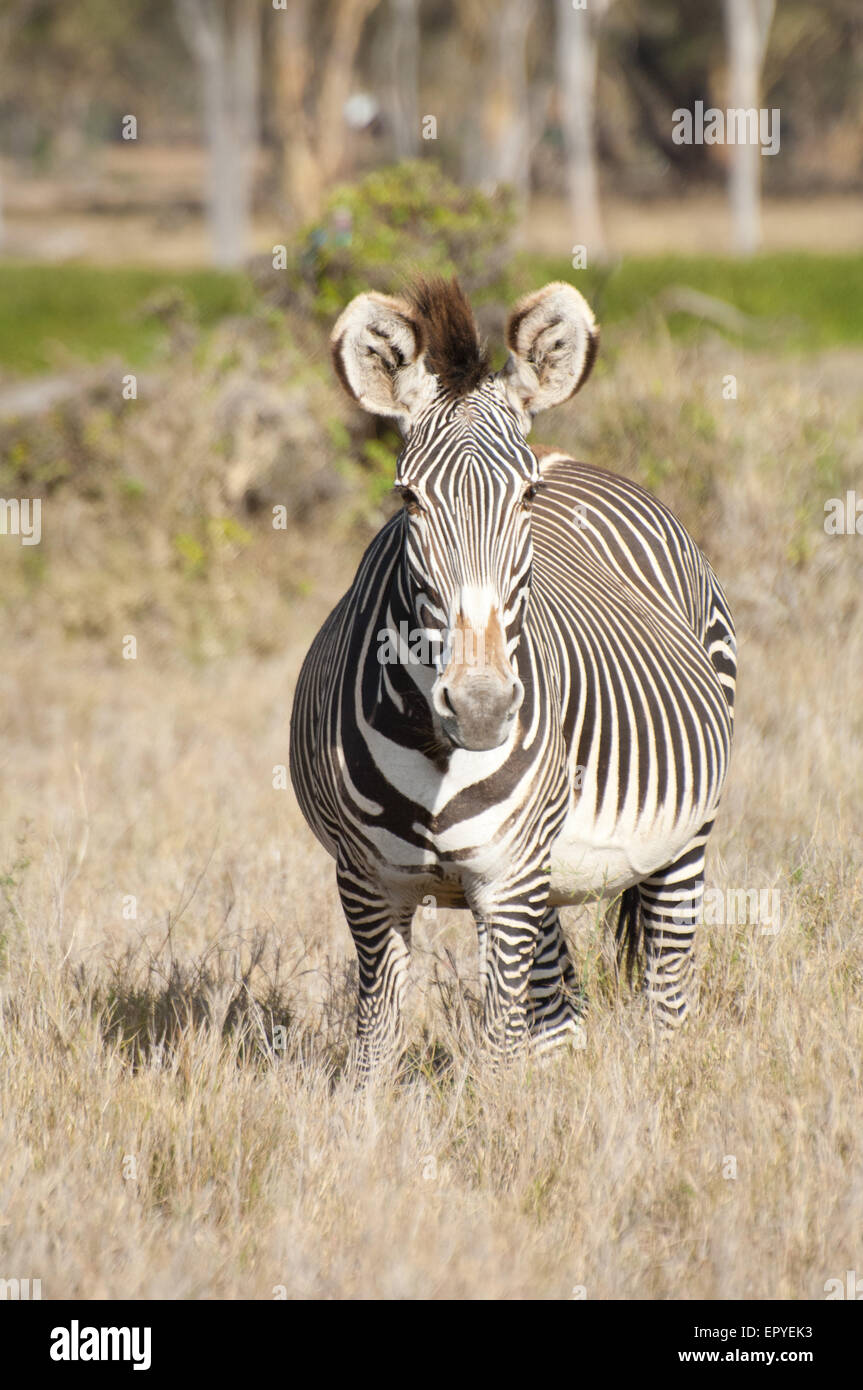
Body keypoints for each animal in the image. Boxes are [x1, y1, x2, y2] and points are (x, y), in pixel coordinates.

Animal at [290, 276, 736, 1076]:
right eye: (408, 499)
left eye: (524, 498)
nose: (479, 708)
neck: (437, 753)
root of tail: (561, 453)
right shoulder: (369, 884)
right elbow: (375, 1049)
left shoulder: (505, 882)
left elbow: (497, 1052)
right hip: (547, 877)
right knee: (561, 1009)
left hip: (684, 834)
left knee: (666, 986)